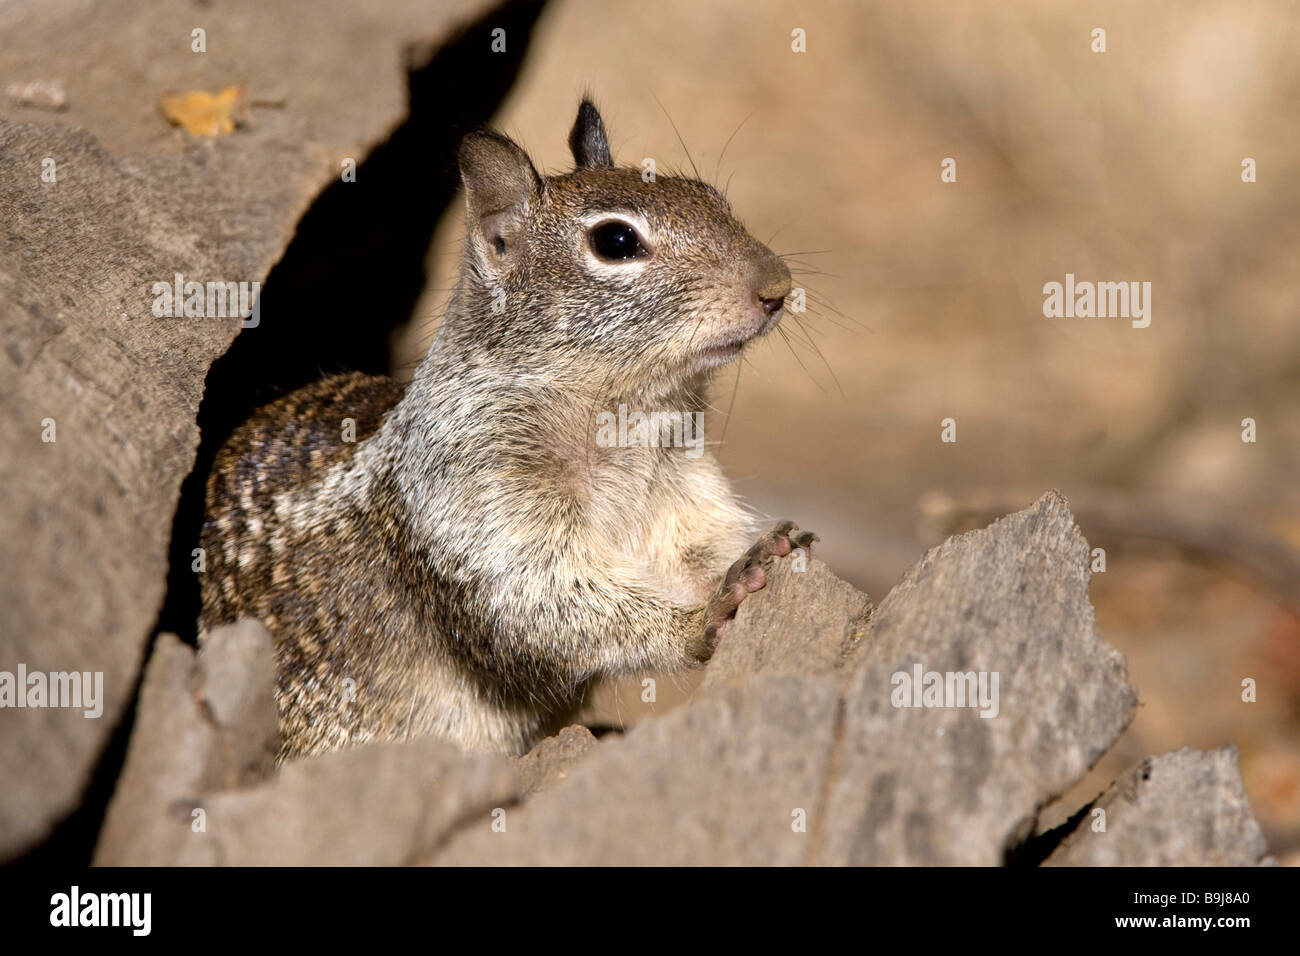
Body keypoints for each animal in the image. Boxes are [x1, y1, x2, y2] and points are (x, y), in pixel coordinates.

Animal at [199, 99, 815, 759]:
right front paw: (705, 617)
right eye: (616, 241)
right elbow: (555, 610)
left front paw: (770, 548)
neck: (626, 419)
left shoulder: (686, 494)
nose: (777, 287)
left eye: (712, 197)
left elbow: (702, 549)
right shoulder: (482, 512)